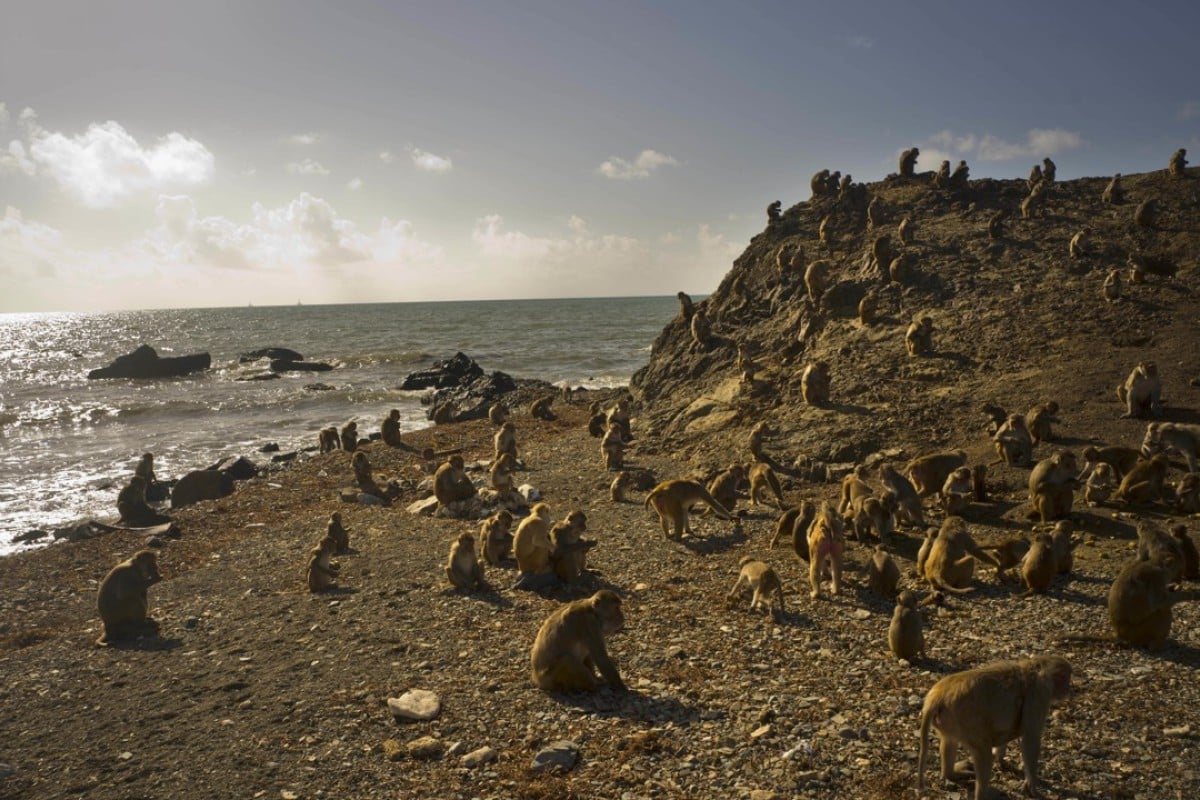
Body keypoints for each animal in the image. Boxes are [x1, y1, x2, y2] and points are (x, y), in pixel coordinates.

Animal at [916, 655, 1072, 800]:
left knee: (950, 741)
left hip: (947, 720)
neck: (1034, 670)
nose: (1068, 688)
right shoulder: (1040, 692)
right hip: (964, 719)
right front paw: (1032, 784)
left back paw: (951, 775)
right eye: (1063, 678)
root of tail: (938, 694)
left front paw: (1001, 759)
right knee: (983, 751)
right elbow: (1030, 737)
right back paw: (981, 794)